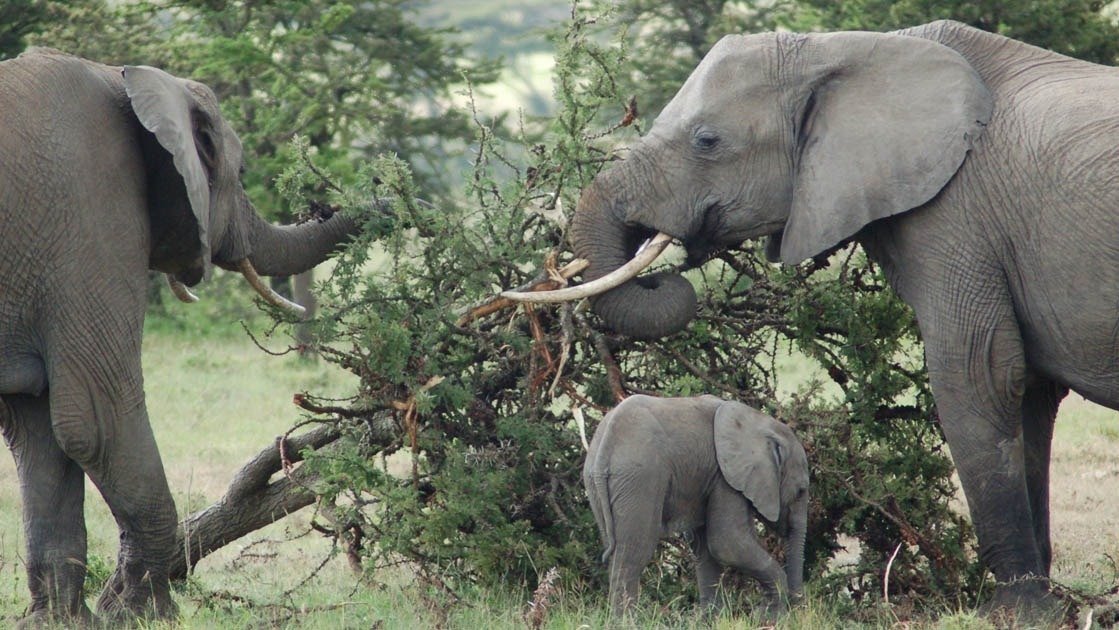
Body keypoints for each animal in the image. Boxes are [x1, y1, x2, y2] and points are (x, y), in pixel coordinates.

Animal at [0, 49, 361, 624]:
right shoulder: (92, 220)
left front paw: (62, 622)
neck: (127, 80)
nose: (396, 202)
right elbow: (98, 423)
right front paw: (146, 615)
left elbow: (39, 433)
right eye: (239, 172)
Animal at [583, 394, 808, 615]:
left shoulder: (709, 477)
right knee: (634, 553)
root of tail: (607, 441)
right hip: (640, 476)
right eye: (800, 491)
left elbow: (705, 548)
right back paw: (626, 621)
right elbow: (728, 543)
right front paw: (770, 616)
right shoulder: (725, 477)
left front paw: (712, 619)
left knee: (615, 551)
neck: (760, 423)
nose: (797, 605)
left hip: (596, 481)